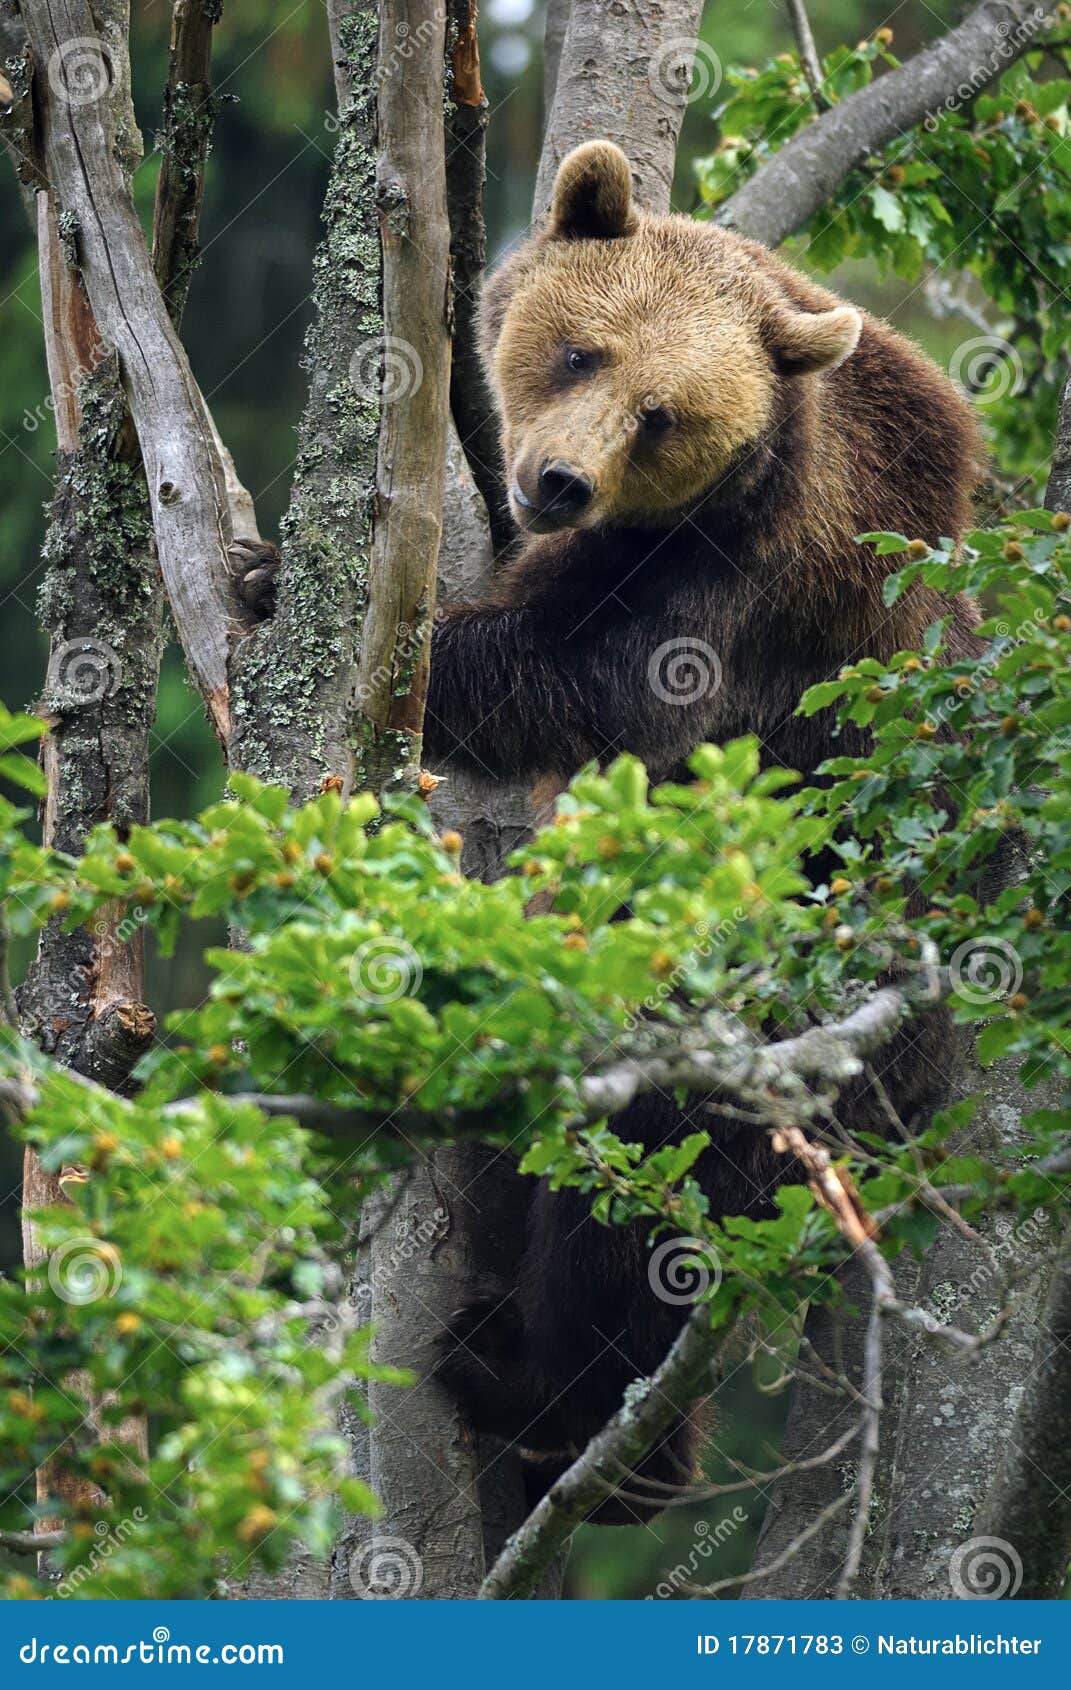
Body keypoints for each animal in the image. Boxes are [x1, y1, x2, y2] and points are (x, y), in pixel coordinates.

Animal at [422, 140, 985, 1524]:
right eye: (580, 352)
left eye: (660, 415)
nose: (554, 481)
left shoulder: (755, 599)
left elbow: (580, 676)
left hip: (767, 1043)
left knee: (635, 1197)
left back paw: (541, 1396)